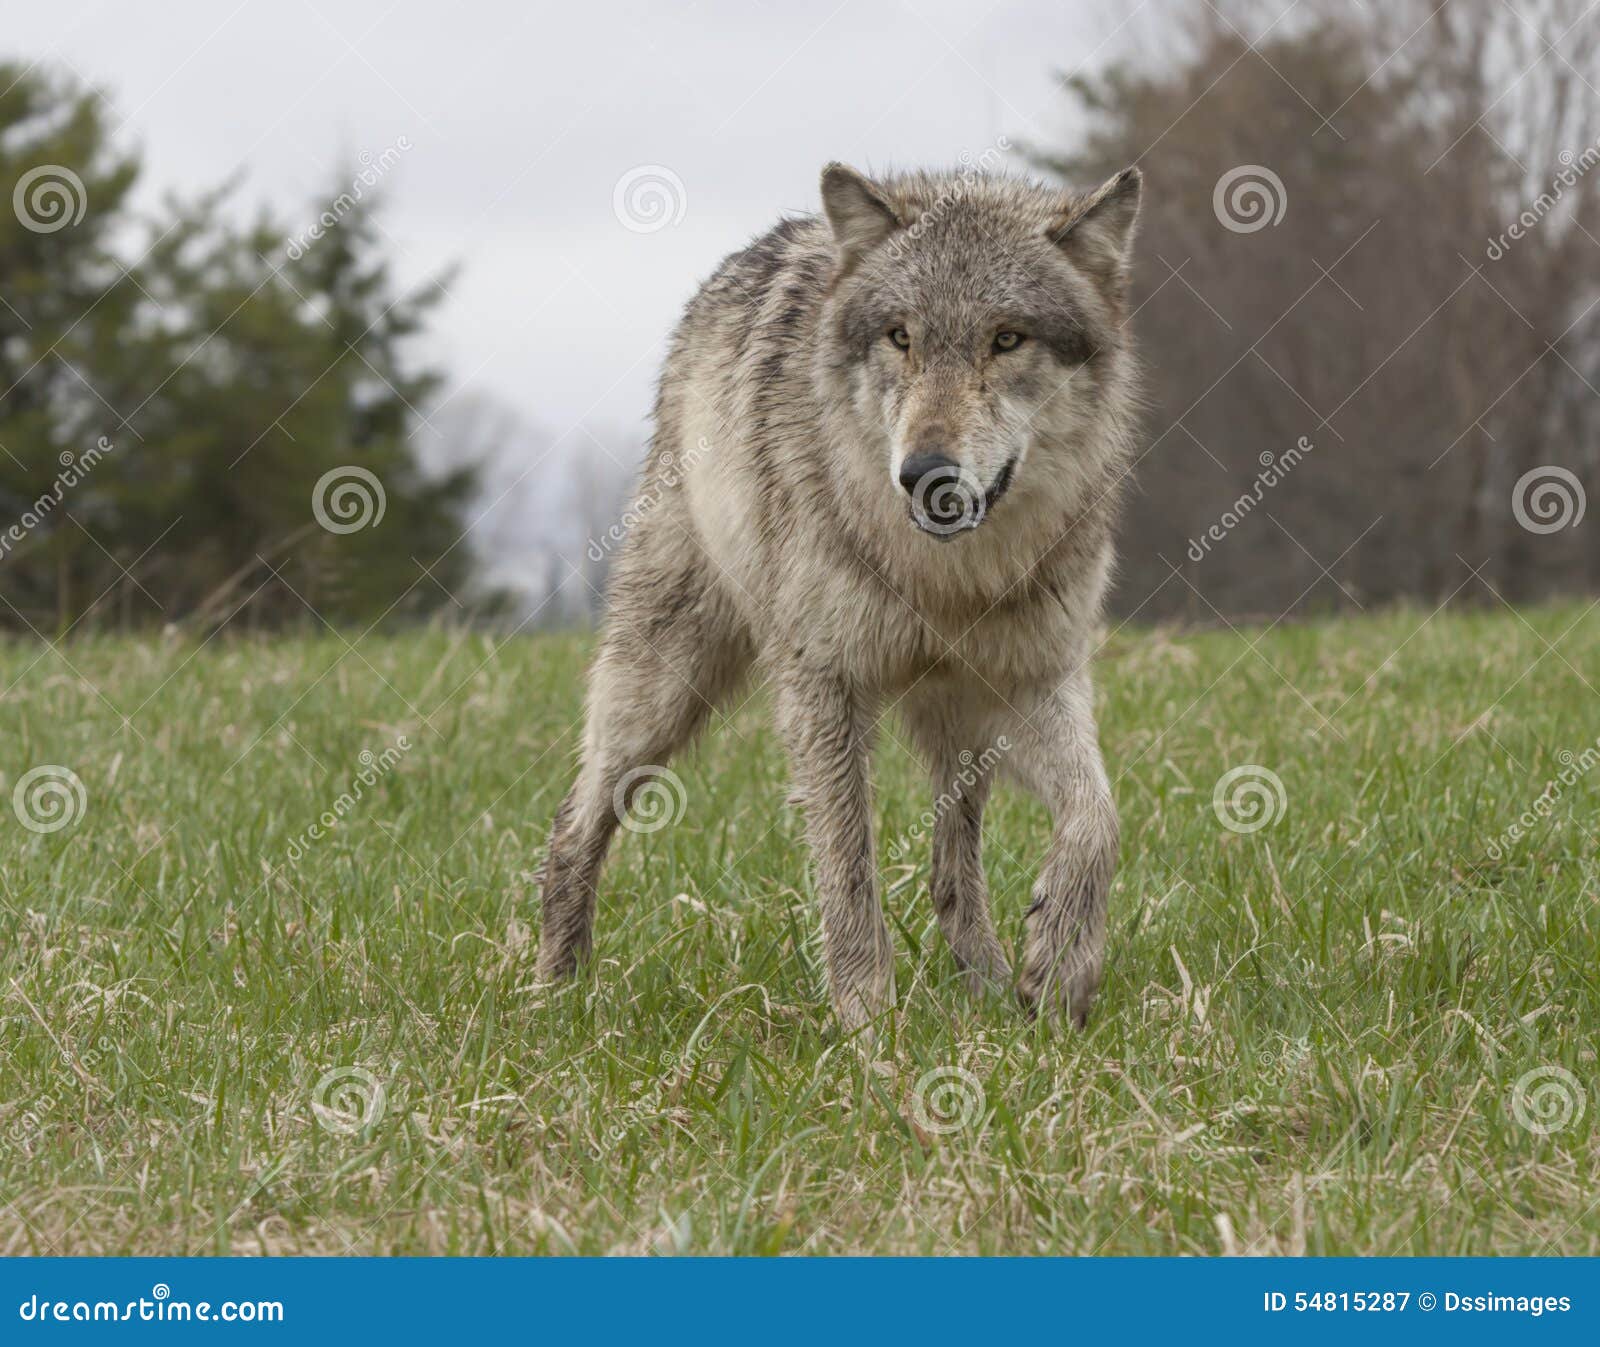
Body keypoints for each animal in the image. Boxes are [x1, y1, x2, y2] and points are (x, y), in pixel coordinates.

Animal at [536, 161, 1143, 1031]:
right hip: (663, 689)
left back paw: (988, 984)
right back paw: (551, 991)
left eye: (1006, 338)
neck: (945, 579)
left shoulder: (1030, 681)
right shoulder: (824, 687)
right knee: (573, 821)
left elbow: (1098, 819)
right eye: (900, 336)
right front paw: (868, 1024)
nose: (924, 472)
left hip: (955, 720)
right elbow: (848, 868)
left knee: (952, 868)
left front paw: (1058, 971)